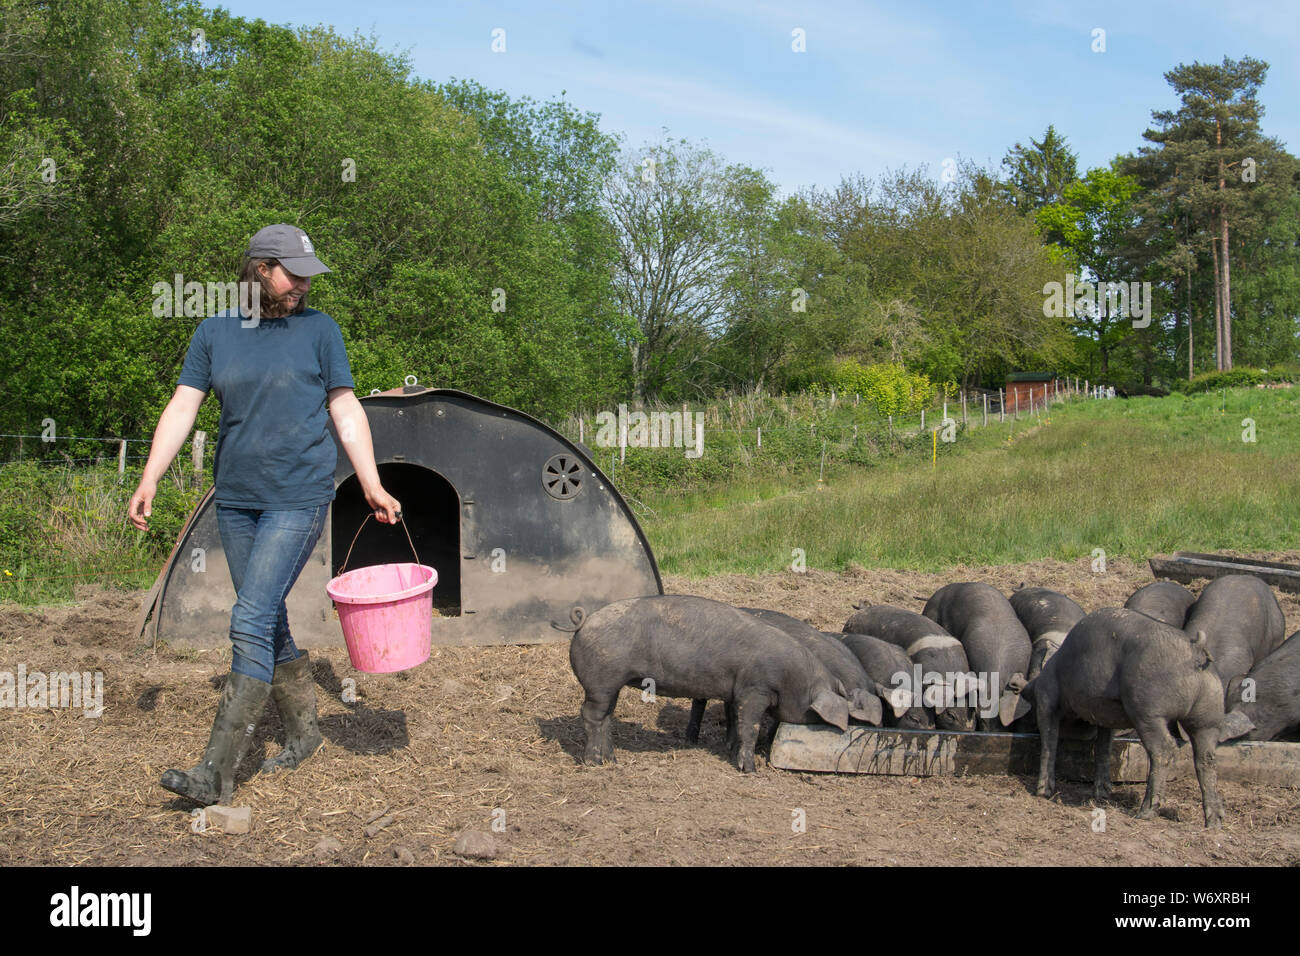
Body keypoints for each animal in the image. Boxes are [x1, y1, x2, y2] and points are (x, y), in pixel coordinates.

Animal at [566, 595, 861, 772]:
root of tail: (585, 622)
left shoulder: (736, 691)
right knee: (591, 715)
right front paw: (749, 770)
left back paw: (611, 760)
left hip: (610, 686)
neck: (793, 677)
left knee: (606, 718)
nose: (843, 727)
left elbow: (735, 722)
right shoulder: (754, 689)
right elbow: (750, 726)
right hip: (600, 683)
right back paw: (593, 763)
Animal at [1026, 608, 1225, 828]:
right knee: (1206, 759)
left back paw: (1145, 812)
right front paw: (1102, 793)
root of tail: (1195, 650)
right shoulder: (1105, 715)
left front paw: (1041, 792)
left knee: (1163, 750)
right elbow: (1103, 747)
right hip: (1209, 718)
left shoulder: (1047, 697)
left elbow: (1049, 741)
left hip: (1148, 712)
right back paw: (1214, 822)